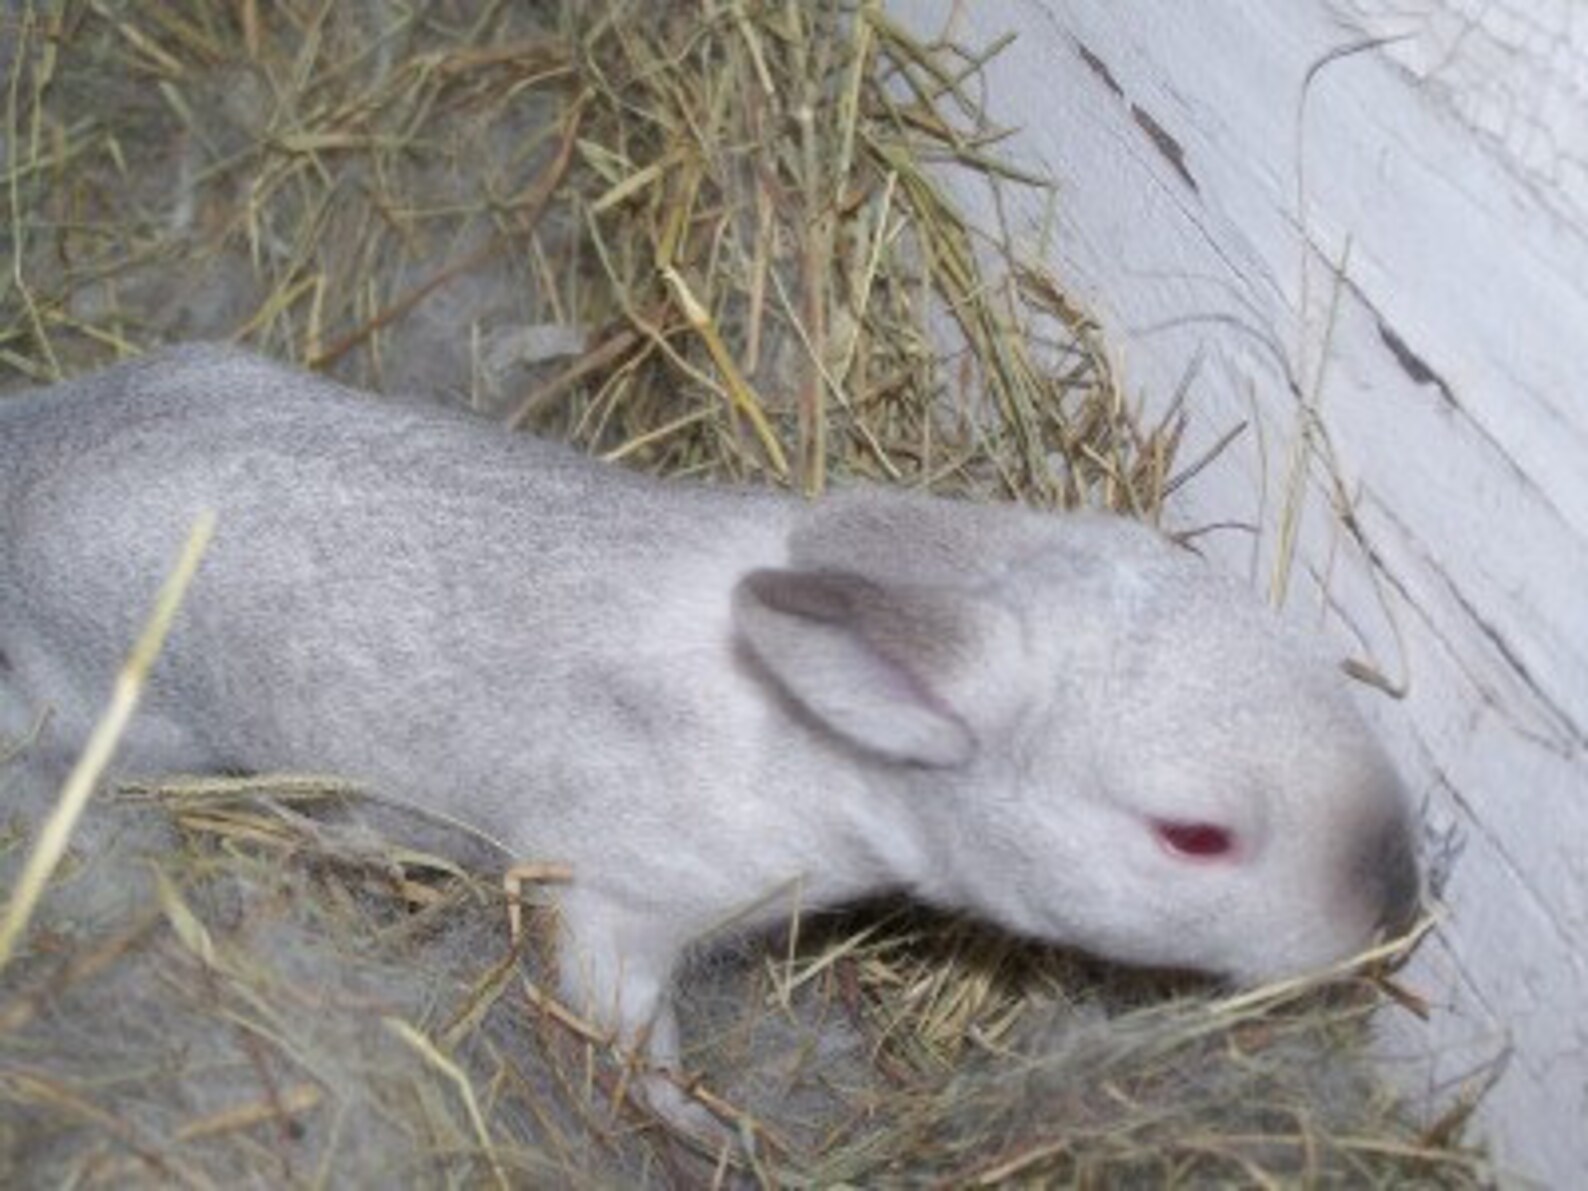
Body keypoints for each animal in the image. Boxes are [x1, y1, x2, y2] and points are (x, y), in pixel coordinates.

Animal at [0, 344, 1419, 1131]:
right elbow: (625, 1024)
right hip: (119, 717)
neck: (805, 729)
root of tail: (32, 449)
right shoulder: (618, 898)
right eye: (1193, 837)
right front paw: (709, 1136)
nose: (1388, 914)